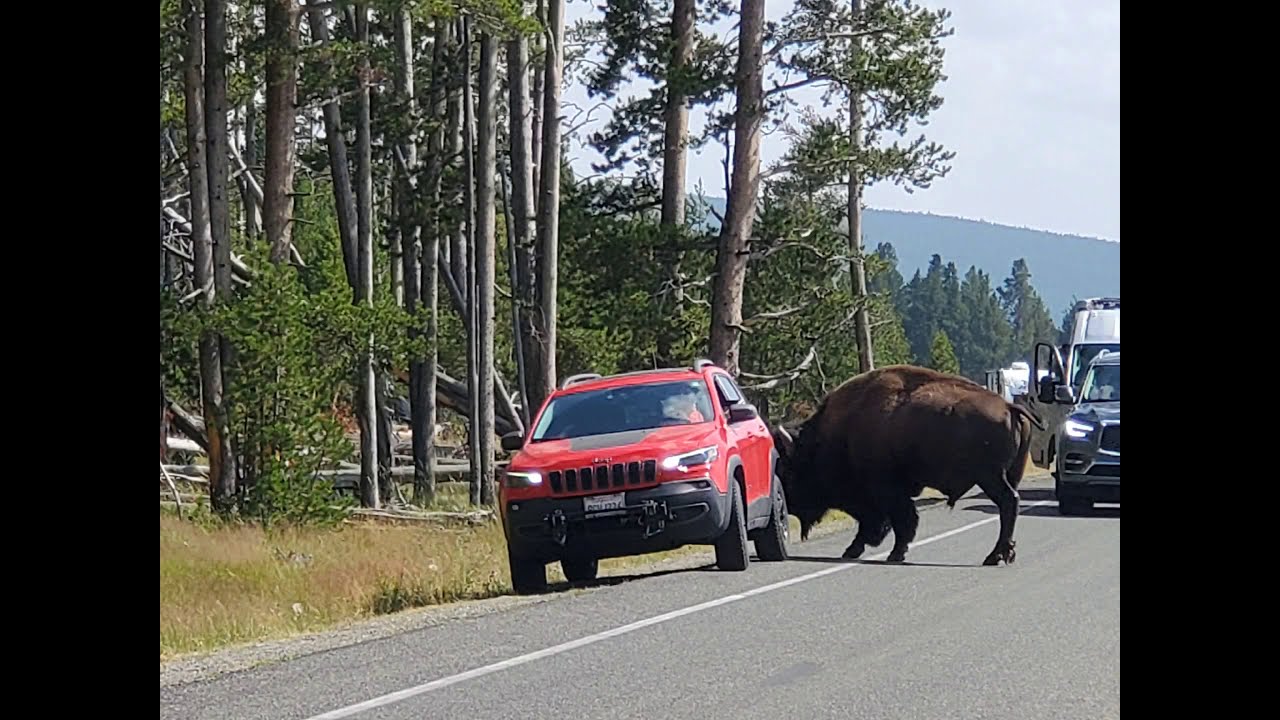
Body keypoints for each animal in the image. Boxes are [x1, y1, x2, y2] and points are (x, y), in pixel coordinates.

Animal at [771, 365, 1044, 566]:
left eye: (789, 470)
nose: (786, 506)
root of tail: (1009, 406)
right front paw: (858, 550)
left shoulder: (885, 489)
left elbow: (896, 520)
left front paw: (892, 553)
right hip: (1009, 474)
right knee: (1010, 507)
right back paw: (1004, 553)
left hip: (991, 477)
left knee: (1008, 503)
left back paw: (994, 556)